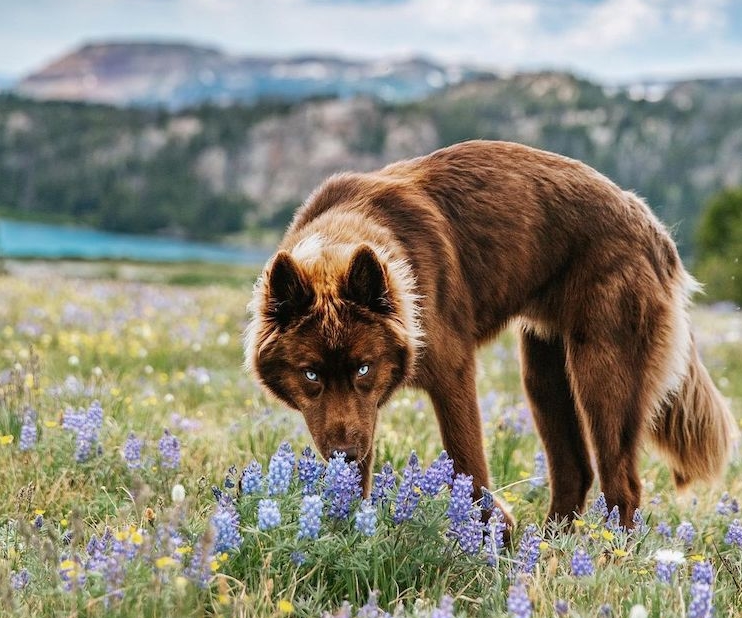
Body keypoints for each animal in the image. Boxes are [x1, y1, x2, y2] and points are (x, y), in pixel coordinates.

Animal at [245, 140, 736, 529]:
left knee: (623, 485)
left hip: (602, 373)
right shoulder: (360, 413)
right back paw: (549, 551)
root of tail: (652, 226)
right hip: (543, 371)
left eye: (363, 368)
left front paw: (489, 537)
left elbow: (468, 464)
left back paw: (609, 558)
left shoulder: (451, 373)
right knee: (574, 471)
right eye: (310, 375)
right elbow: (358, 478)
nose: (342, 454)